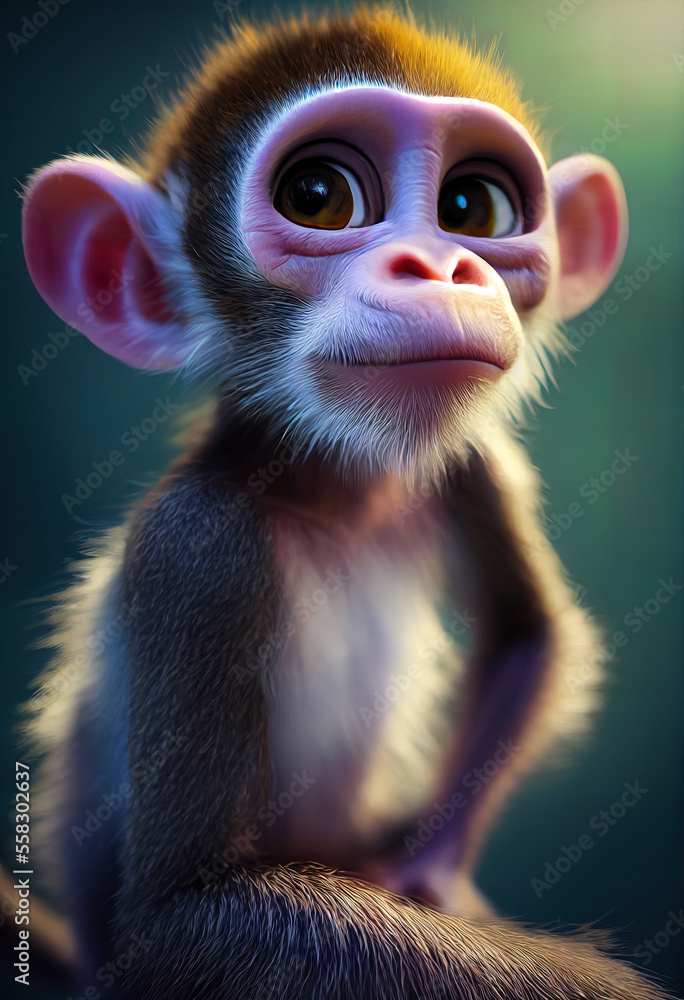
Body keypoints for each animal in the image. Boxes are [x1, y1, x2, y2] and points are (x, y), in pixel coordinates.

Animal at [17, 5, 671, 998]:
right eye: (319, 195)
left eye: (472, 209)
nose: (439, 269)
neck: (330, 496)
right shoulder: (191, 549)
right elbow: (181, 912)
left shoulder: (472, 465)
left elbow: (529, 634)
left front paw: (425, 872)